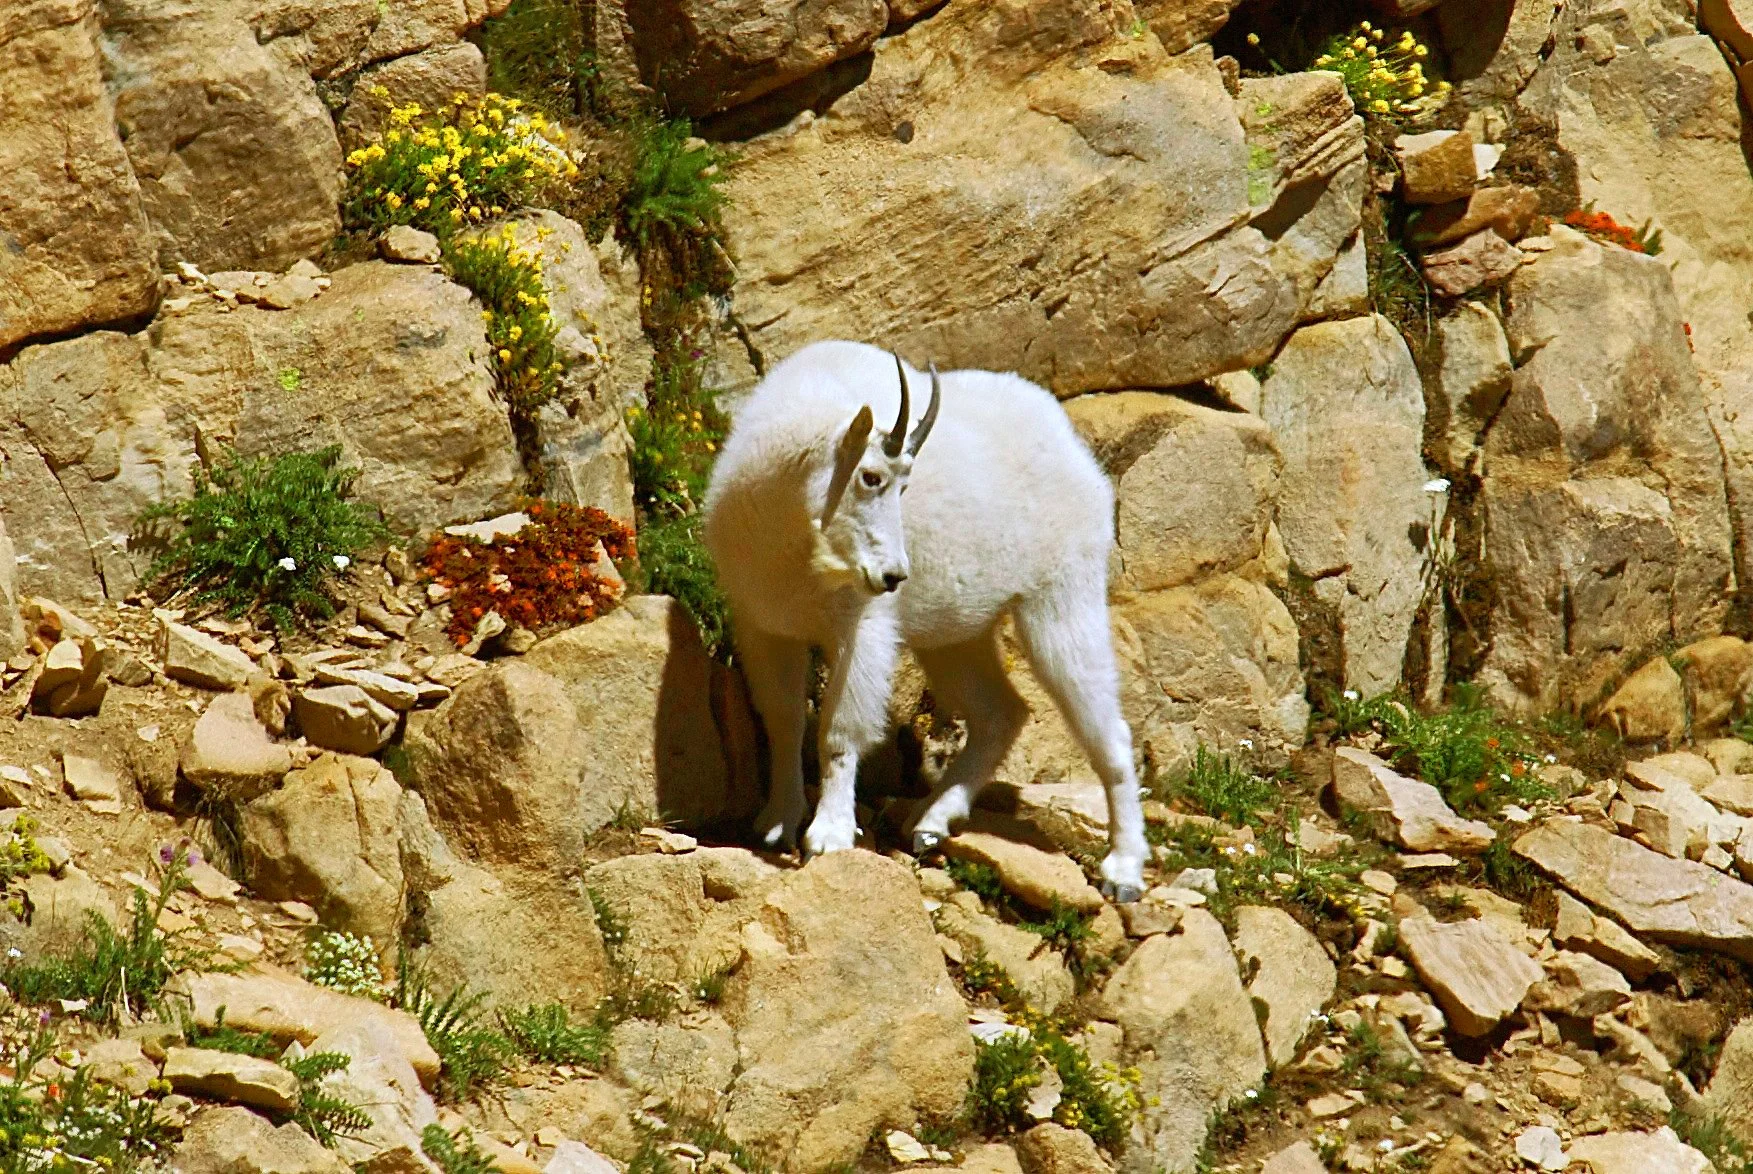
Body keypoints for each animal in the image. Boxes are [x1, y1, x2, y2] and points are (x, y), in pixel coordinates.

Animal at [702, 340, 1147, 901]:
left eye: (905, 488)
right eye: (871, 477)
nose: (893, 575)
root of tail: (1076, 452)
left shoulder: (861, 625)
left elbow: (838, 730)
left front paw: (828, 835)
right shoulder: (764, 625)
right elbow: (783, 721)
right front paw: (777, 821)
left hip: (1063, 595)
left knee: (1108, 728)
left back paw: (1124, 870)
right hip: (955, 635)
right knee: (1001, 712)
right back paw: (932, 821)